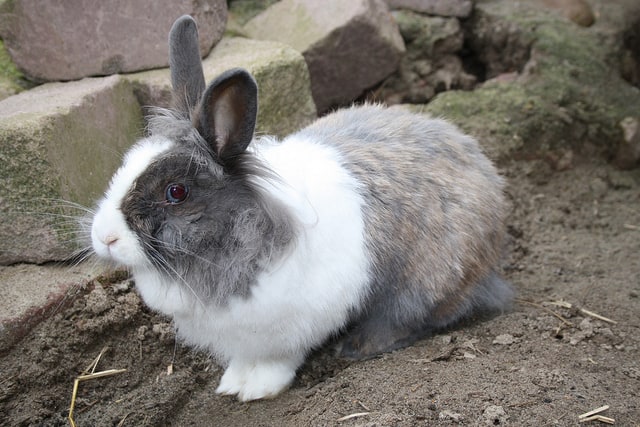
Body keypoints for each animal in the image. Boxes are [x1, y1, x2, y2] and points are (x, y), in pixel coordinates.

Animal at [90, 15, 513, 402]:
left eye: (176, 192)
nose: (104, 237)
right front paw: (232, 384)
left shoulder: (291, 324)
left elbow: (279, 359)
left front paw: (257, 390)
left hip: (424, 282)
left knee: (412, 317)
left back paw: (357, 347)